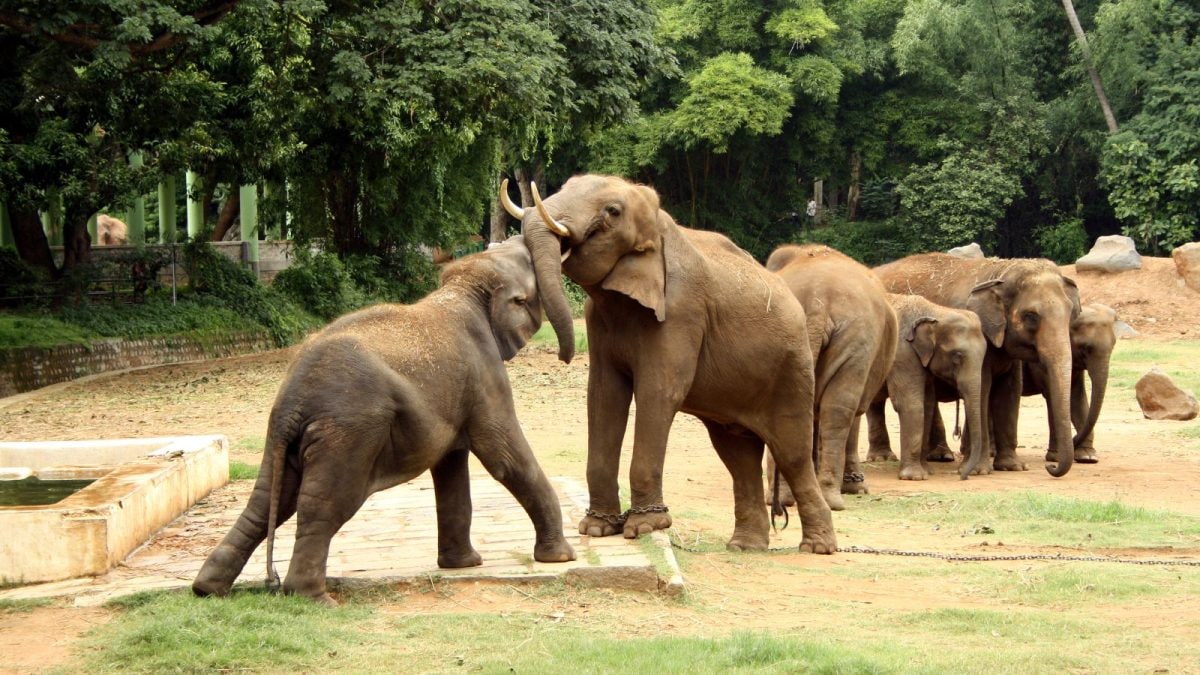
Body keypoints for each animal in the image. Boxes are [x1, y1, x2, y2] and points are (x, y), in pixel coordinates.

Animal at [192, 236, 576, 605]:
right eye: (528, 268)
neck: (464, 287)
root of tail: (293, 402)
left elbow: (451, 467)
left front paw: (464, 565)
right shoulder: (484, 374)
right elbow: (504, 458)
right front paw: (560, 558)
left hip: (280, 437)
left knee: (266, 501)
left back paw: (208, 589)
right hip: (348, 432)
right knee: (324, 505)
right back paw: (315, 599)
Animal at [503, 174, 835, 554]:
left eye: (612, 211)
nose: (562, 356)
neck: (659, 228)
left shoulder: (680, 312)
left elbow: (658, 394)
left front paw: (645, 527)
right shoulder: (598, 319)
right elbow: (604, 396)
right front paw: (598, 528)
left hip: (792, 369)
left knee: (791, 452)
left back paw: (817, 548)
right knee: (738, 456)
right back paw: (744, 547)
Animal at [762, 244, 898, 510]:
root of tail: (818, 302)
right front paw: (857, 488)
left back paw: (781, 499)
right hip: (857, 339)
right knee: (840, 409)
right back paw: (832, 500)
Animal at [864, 294, 988, 481]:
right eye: (957, 356)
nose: (962, 475)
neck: (934, 310)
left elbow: (928, 404)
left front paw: (927, 471)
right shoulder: (902, 353)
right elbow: (910, 403)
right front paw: (914, 477)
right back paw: (879, 459)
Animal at [1024, 303, 1118, 464]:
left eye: (1113, 346)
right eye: (1086, 348)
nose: (1073, 440)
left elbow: (1076, 399)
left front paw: (1088, 457)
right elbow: (1054, 398)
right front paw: (1055, 457)